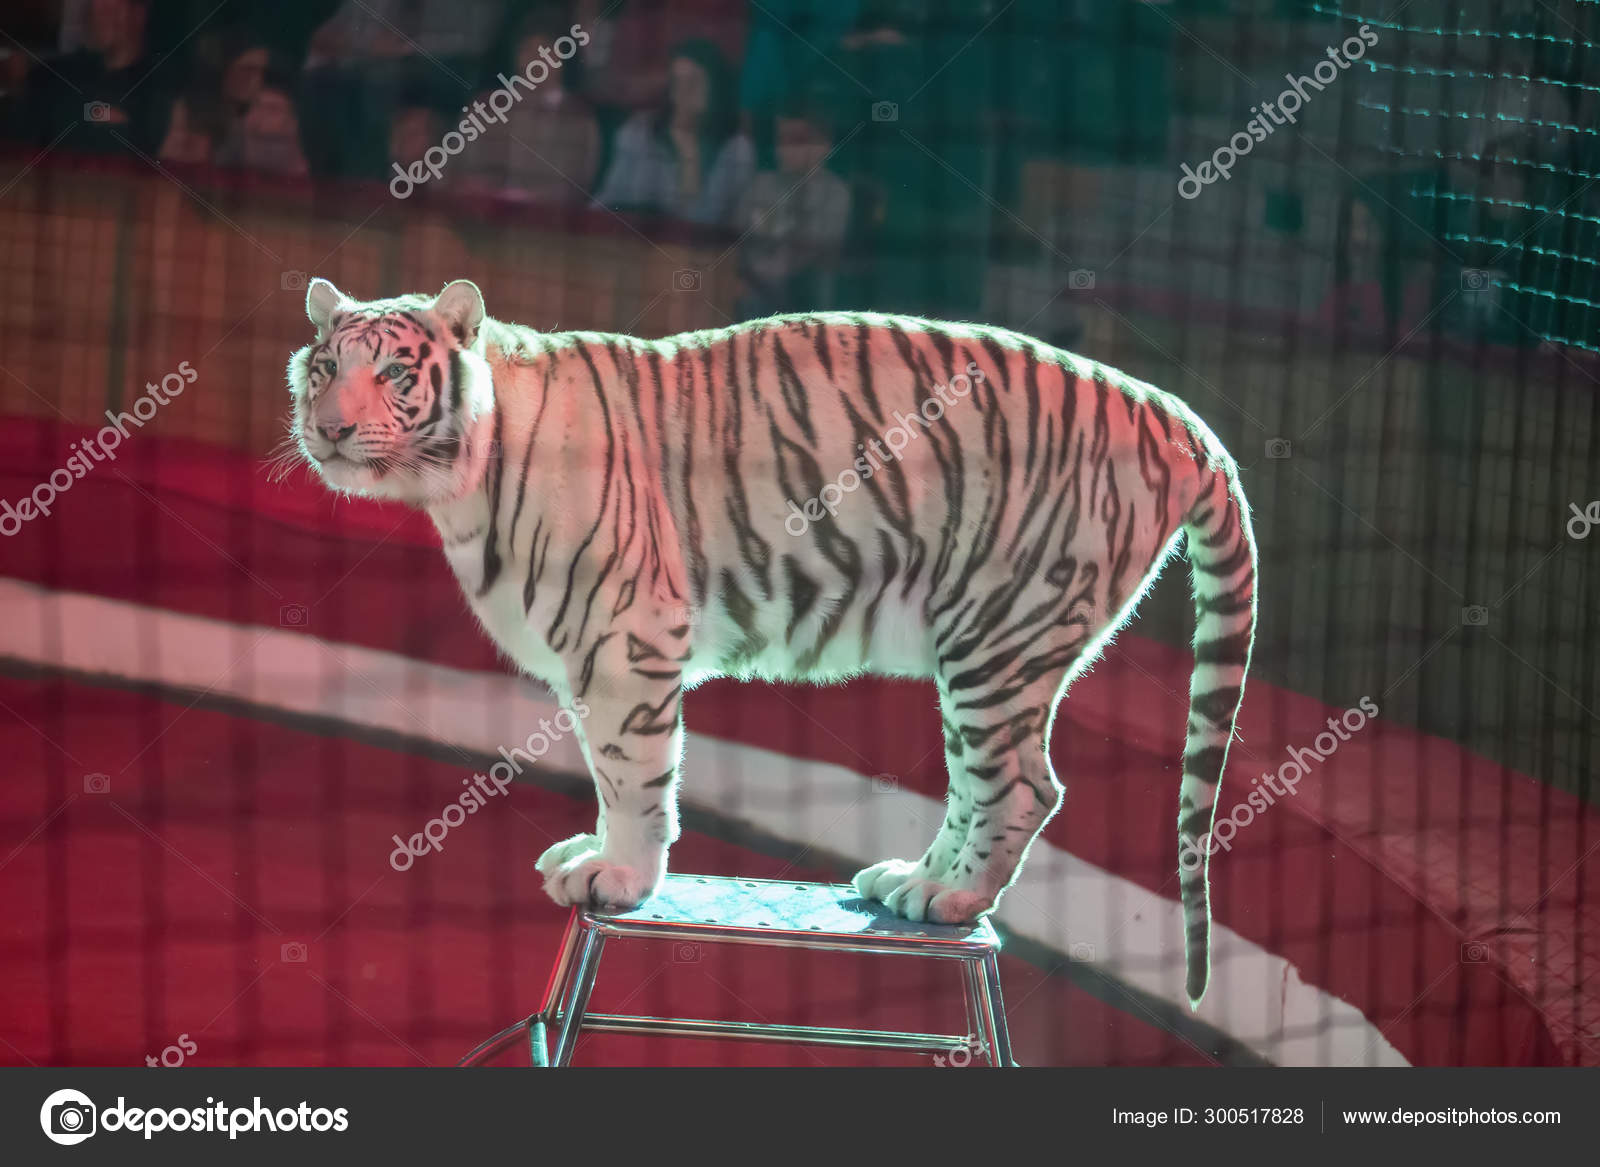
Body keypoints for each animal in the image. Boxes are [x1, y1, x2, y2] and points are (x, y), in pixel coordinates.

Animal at [285, 277, 1257, 1006]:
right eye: (326, 365)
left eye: (394, 372)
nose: (328, 427)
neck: (459, 482)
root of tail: (1179, 417)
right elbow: (602, 765)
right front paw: (593, 853)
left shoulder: (627, 635)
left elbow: (632, 769)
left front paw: (621, 876)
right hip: (975, 648)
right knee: (977, 782)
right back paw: (907, 882)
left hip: (1003, 633)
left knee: (1024, 785)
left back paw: (952, 897)